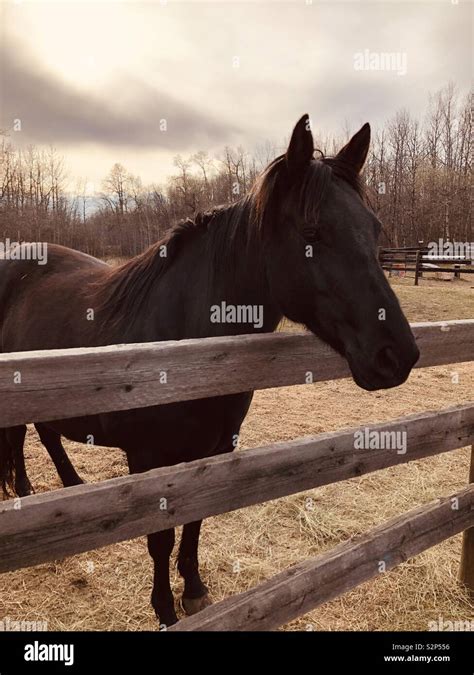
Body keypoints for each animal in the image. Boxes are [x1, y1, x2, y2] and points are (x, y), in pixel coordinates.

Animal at [0, 115, 419, 626]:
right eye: (312, 232)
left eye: (374, 228)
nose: (397, 354)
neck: (185, 342)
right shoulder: (150, 460)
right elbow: (160, 537)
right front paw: (165, 609)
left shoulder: (214, 451)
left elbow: (196, 521)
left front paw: (195, 589)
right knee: (20, 437)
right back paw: (26, 493)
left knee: (45, 433)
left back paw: (71, 488)